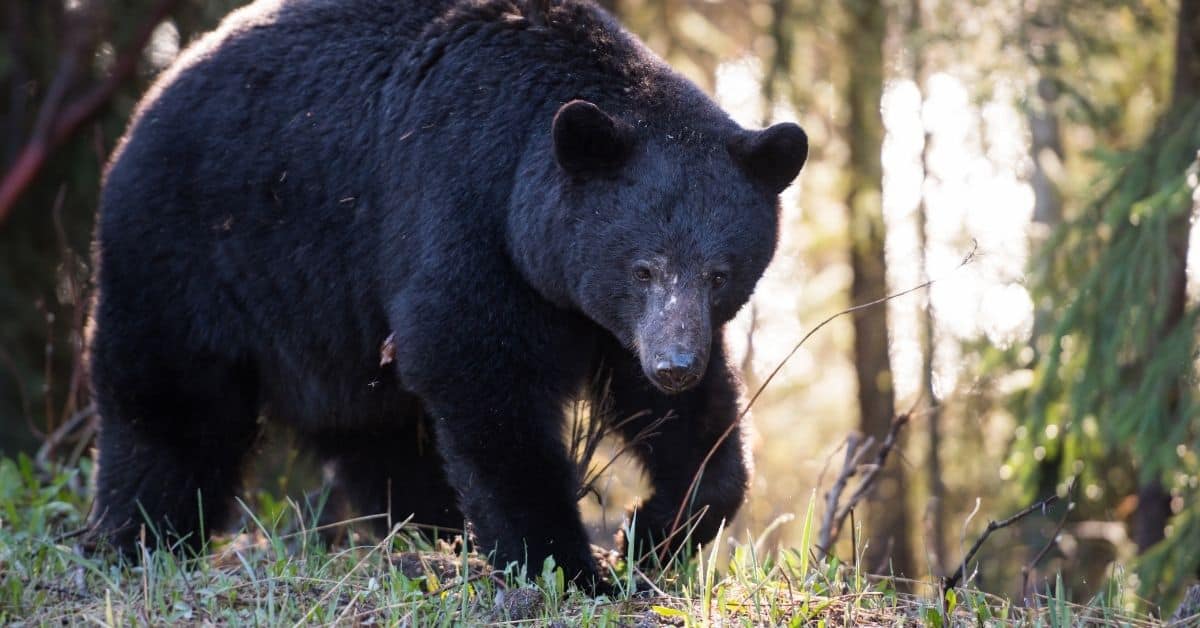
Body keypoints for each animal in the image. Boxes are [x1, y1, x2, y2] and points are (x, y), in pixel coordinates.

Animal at [86, 0, 807, 593]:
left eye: (719, 273)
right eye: (643, 269)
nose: (674, 366)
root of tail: (150, 99)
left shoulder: (609, 319)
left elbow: (687, 424)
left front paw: (651, 533)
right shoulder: (461, 208)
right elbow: (476, 370)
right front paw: (567, 565)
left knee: (376, 434)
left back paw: (428, 533)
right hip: (193, 254)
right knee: (171, 407)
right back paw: (141, 537)